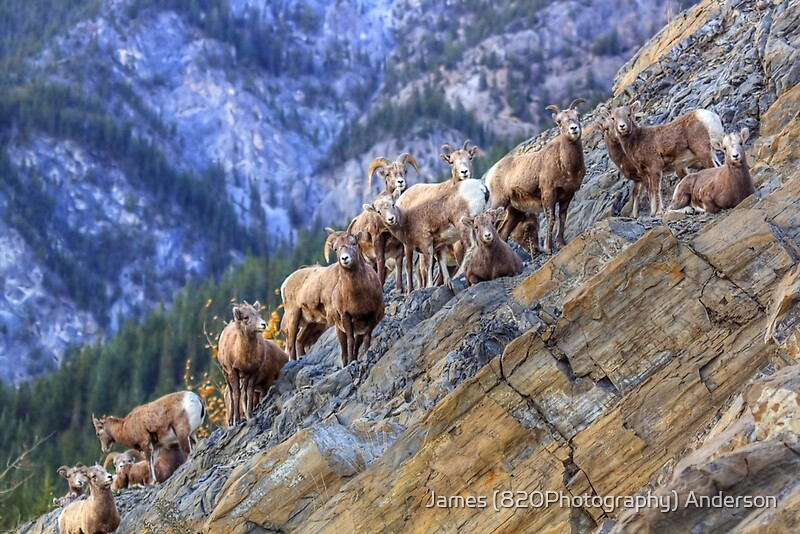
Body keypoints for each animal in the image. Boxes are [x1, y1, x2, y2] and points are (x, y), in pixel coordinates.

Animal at [324, 227, 385, 366]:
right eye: (336, 249)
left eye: (353, 243)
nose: (345, 258)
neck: (357, 295)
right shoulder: (346, 316)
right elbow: (350, 340)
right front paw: (352, 361)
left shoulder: (371, 316)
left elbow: (367, 337)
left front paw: (367, 354)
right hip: (339, 330)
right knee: (344, 350)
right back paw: (347, 363)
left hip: (358, 331)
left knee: (357, 345)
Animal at [486, 99, 587, 254]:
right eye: (559, 121)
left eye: (578, 115)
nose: (574, 129)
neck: (566, 166)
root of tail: (490, 174)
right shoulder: (549, 194)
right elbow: (551, 218)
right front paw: (548, 248)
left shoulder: (567, 196)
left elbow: (562, 217)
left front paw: (561, 243)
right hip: (500, 201)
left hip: (515, 211)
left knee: (503, 233)